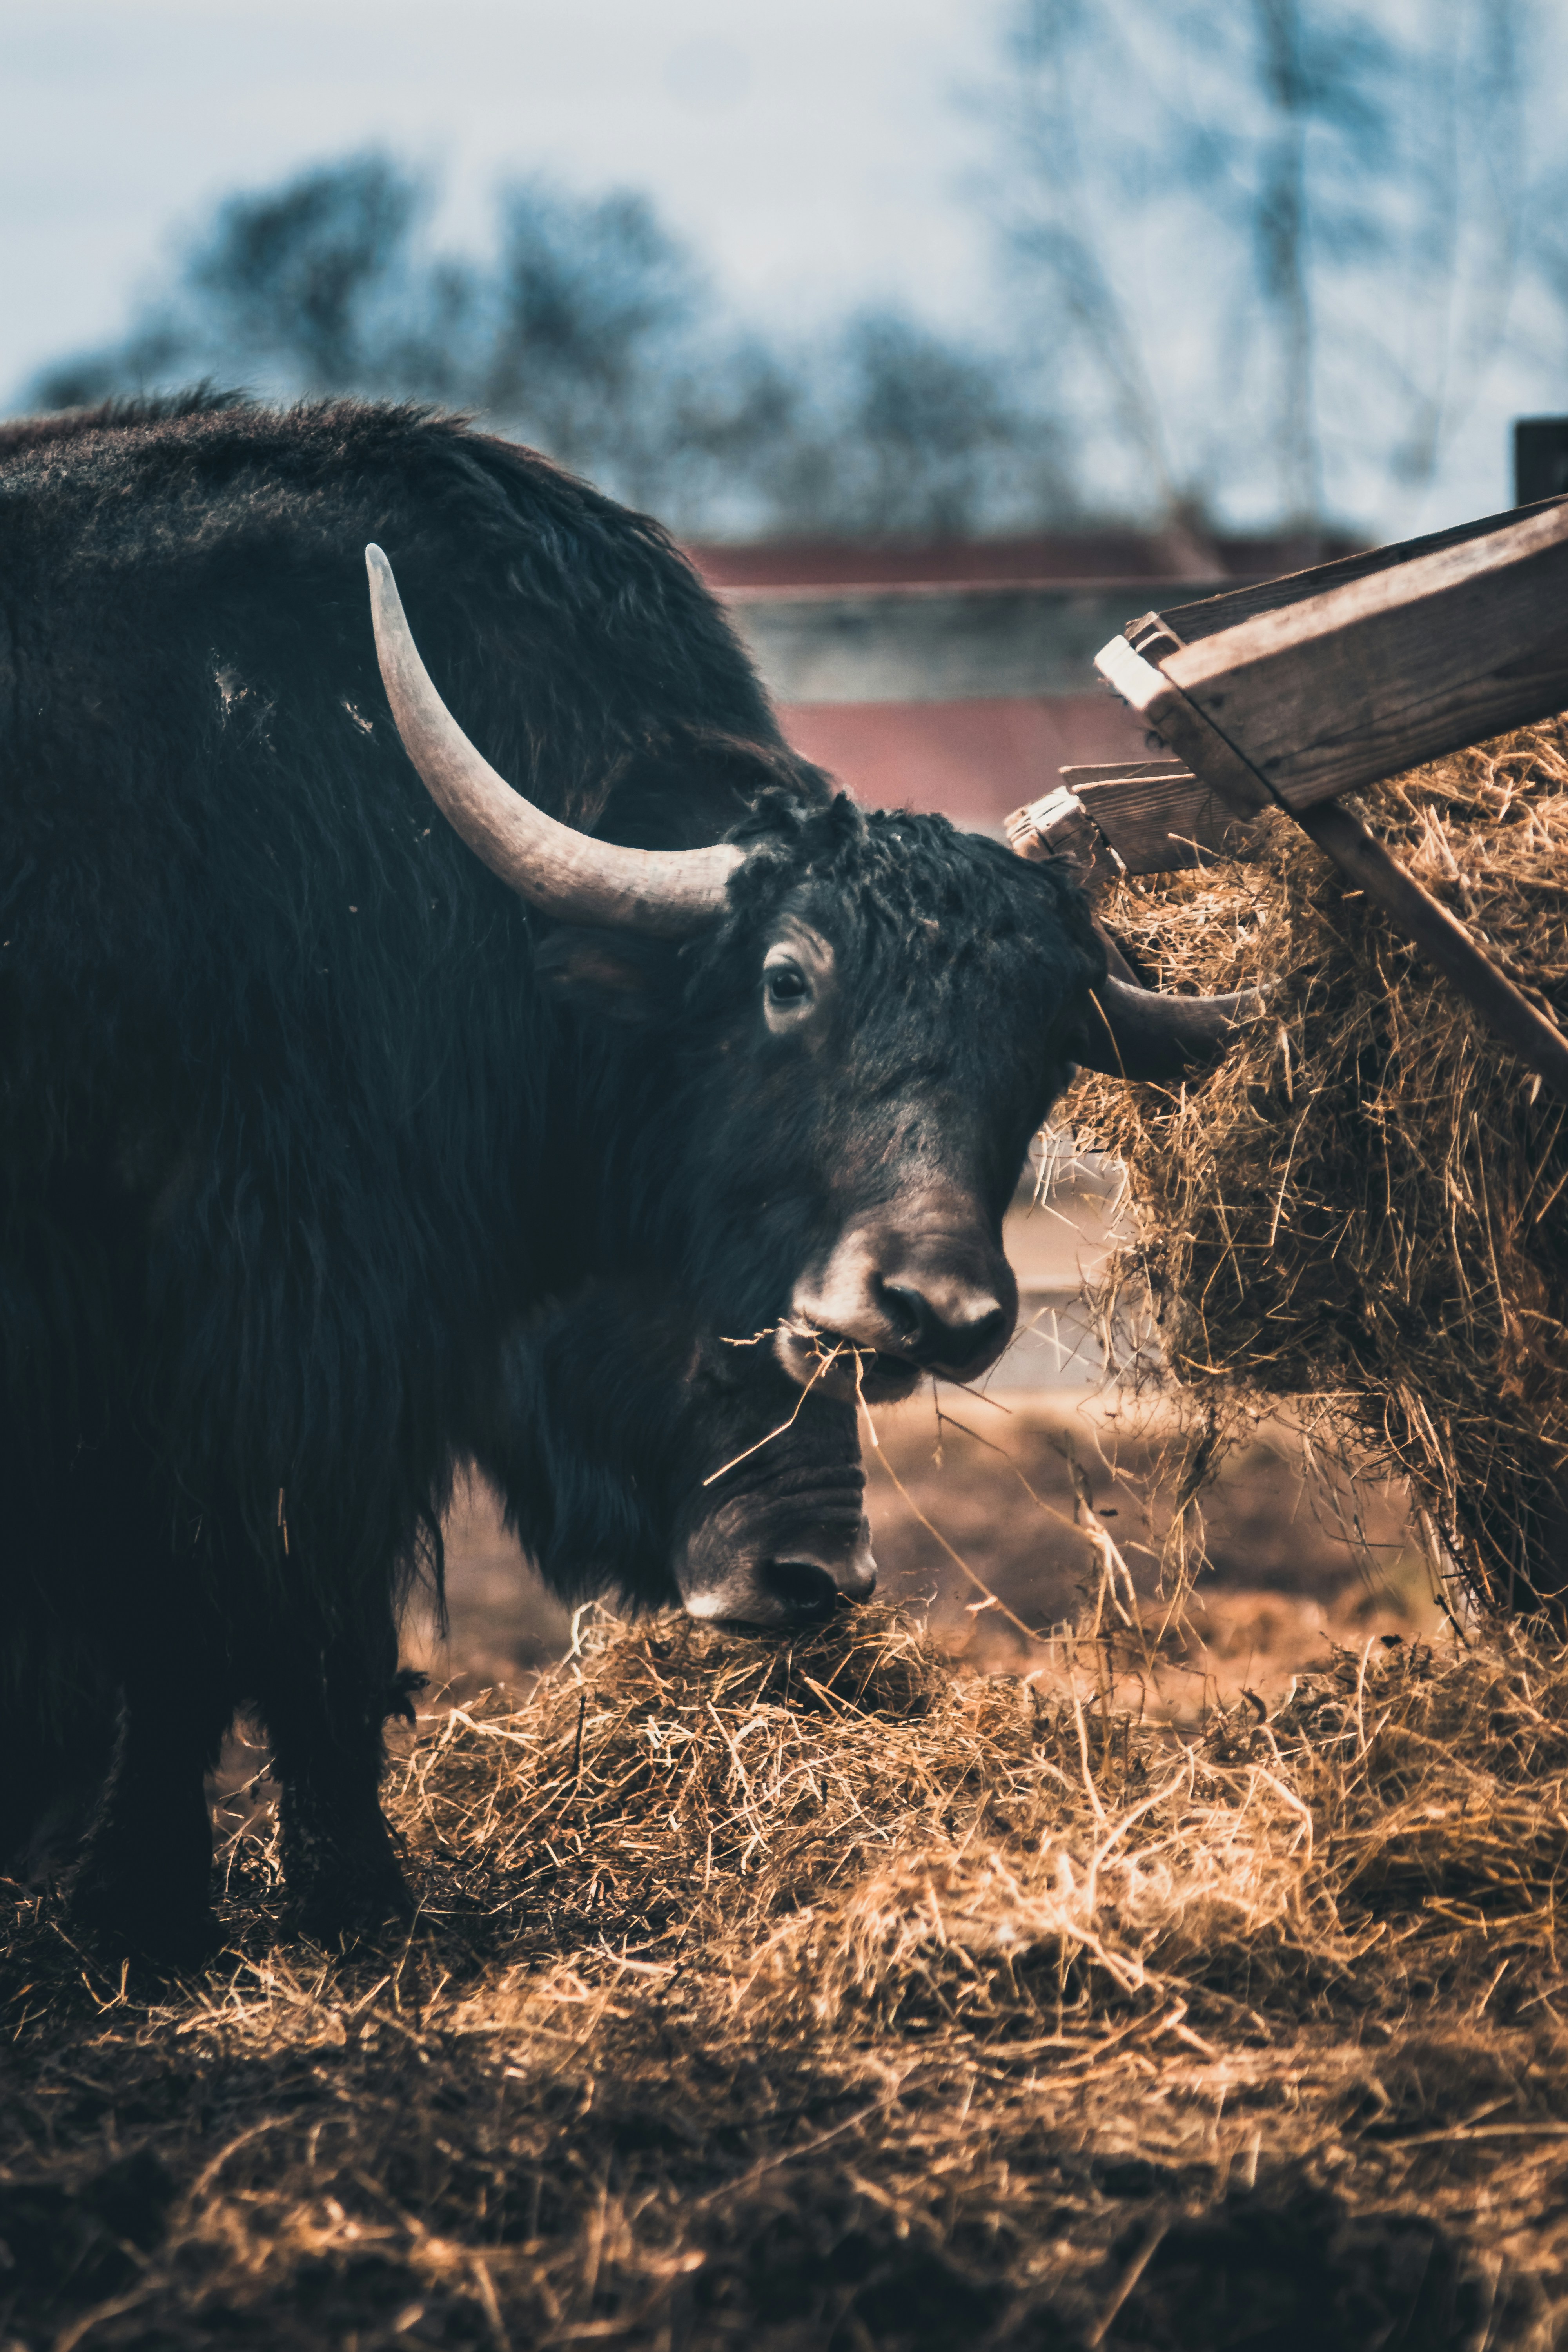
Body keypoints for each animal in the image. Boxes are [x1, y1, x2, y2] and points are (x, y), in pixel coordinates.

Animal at [0, 392, 1251, 1957]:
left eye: (1036, 1054)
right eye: (784, 978)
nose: (942, 1308)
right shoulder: (242, 1322)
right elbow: (237, 1614)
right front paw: (209, 1908)